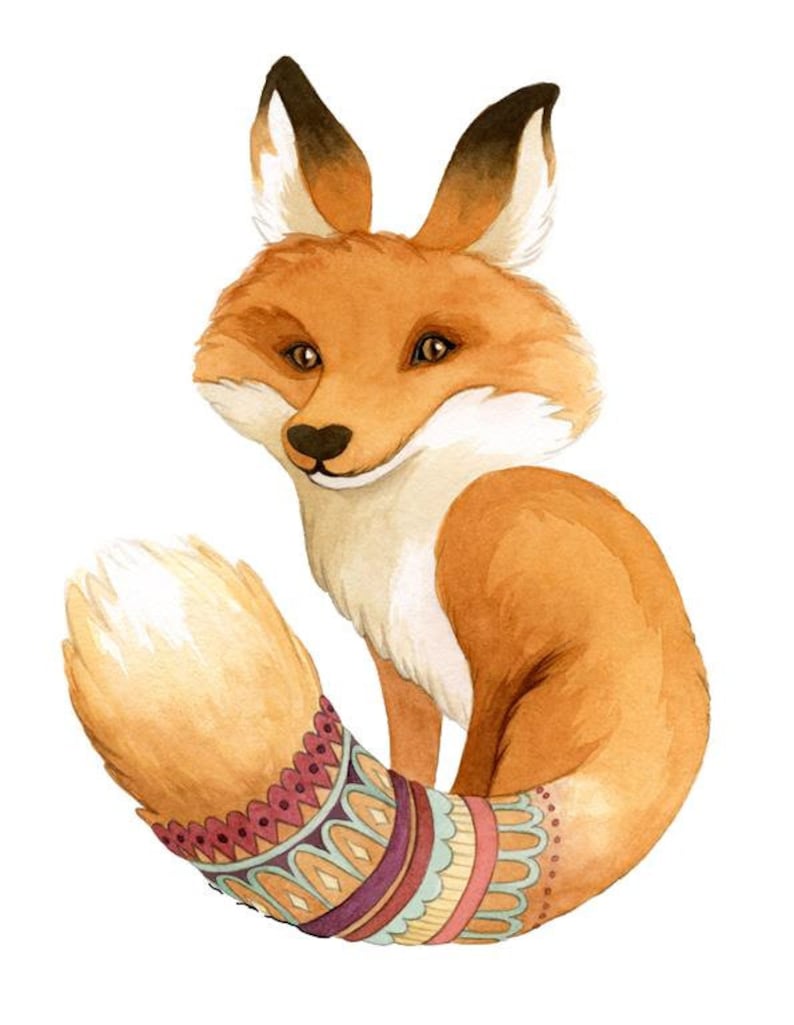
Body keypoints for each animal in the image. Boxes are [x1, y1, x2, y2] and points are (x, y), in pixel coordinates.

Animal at [64, 56, 709, 945]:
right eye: (302, 355)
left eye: (432, 349)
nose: (318, 439)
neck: (412, 526)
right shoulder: (399, 665)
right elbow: (414, 767)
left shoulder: (500, 664)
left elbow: (469, 784)